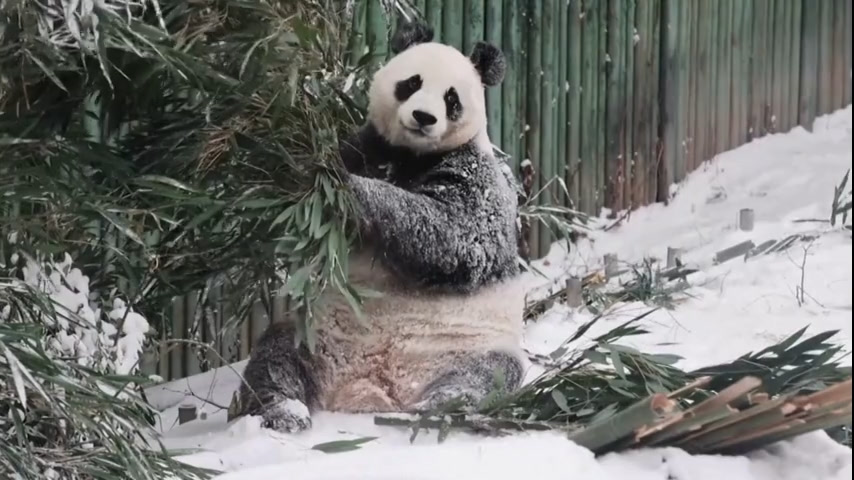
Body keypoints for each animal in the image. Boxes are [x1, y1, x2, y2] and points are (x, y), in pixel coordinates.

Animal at [233, 20, 528, 433]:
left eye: (451, 99)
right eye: (412, 82)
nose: (423, 117)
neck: (410, 155)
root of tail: (369, 389)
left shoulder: (475, 175)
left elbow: (456, 237)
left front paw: (345, 189)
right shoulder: (365, 147)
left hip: (469, 348)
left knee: (486, 376)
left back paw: (441, 406)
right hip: (314, 337)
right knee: (275, 359)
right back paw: (283, 412)